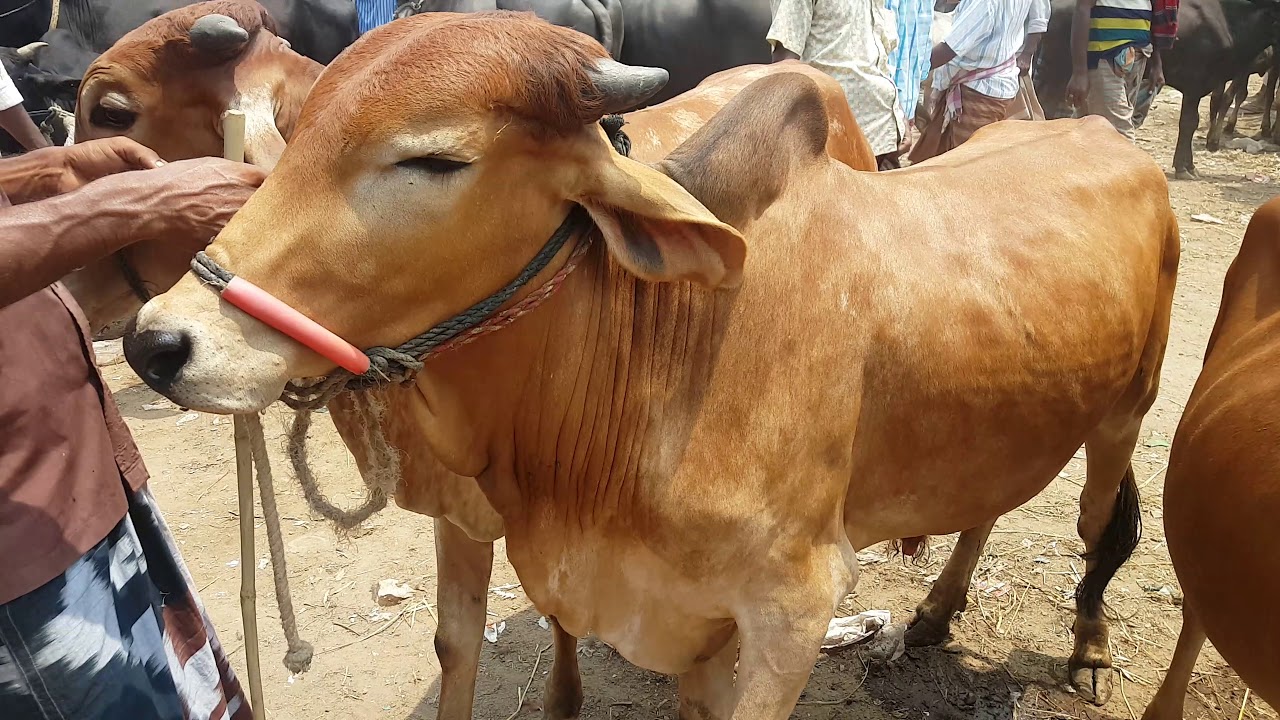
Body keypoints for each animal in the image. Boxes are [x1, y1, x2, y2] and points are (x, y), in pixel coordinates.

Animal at [120, 11, 1179, 714]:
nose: (157, 341)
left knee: (1098, 524)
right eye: (294, 136)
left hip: (1126, 412)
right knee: (987, 503)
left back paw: (1087, 647)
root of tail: (1097, 128)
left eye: (434, 160)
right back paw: (936, 612)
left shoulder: (789, 614)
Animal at [1036, 0, 1280, 178]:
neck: (1230, 22)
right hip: (1057, 71)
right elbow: (1189, 123)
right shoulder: (1195, 83)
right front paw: (1183, 167)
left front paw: (1189, 165)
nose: (1268, 56)